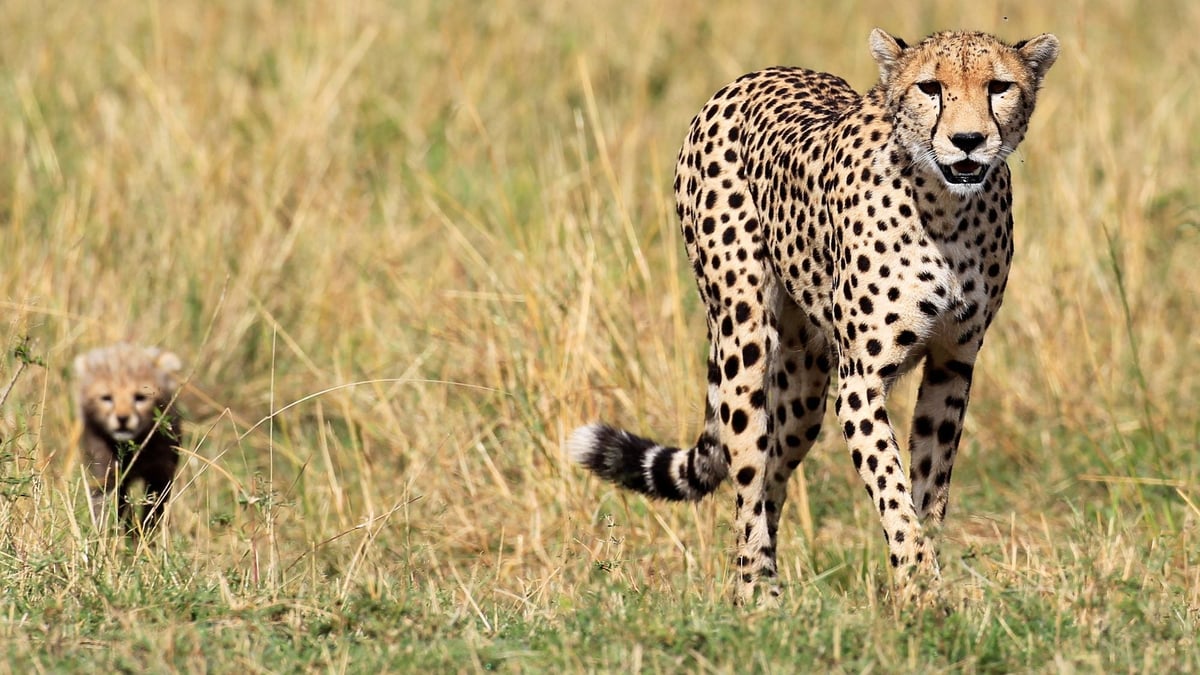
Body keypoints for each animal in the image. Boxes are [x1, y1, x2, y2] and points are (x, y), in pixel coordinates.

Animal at [75, 343, 185, 533]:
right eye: (106, 398)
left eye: (140, 397)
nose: (122, 418)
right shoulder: (106, 472)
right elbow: (104, 504)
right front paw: (102, 533)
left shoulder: (161, 474)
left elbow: (154, 508)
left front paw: (147, 534)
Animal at [568, 28, 1059, 605]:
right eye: (930, 88)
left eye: (999, 87)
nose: (967, 140)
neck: (946, 208)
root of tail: (753, 76)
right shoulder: (861, 380)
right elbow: (893, 492)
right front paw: (919, 588)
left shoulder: (952, 365)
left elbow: (928, 491)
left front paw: (929, 587)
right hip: (743, 339)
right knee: (748, 476)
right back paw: (757, 597)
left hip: (805, 386)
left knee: (774, 472)